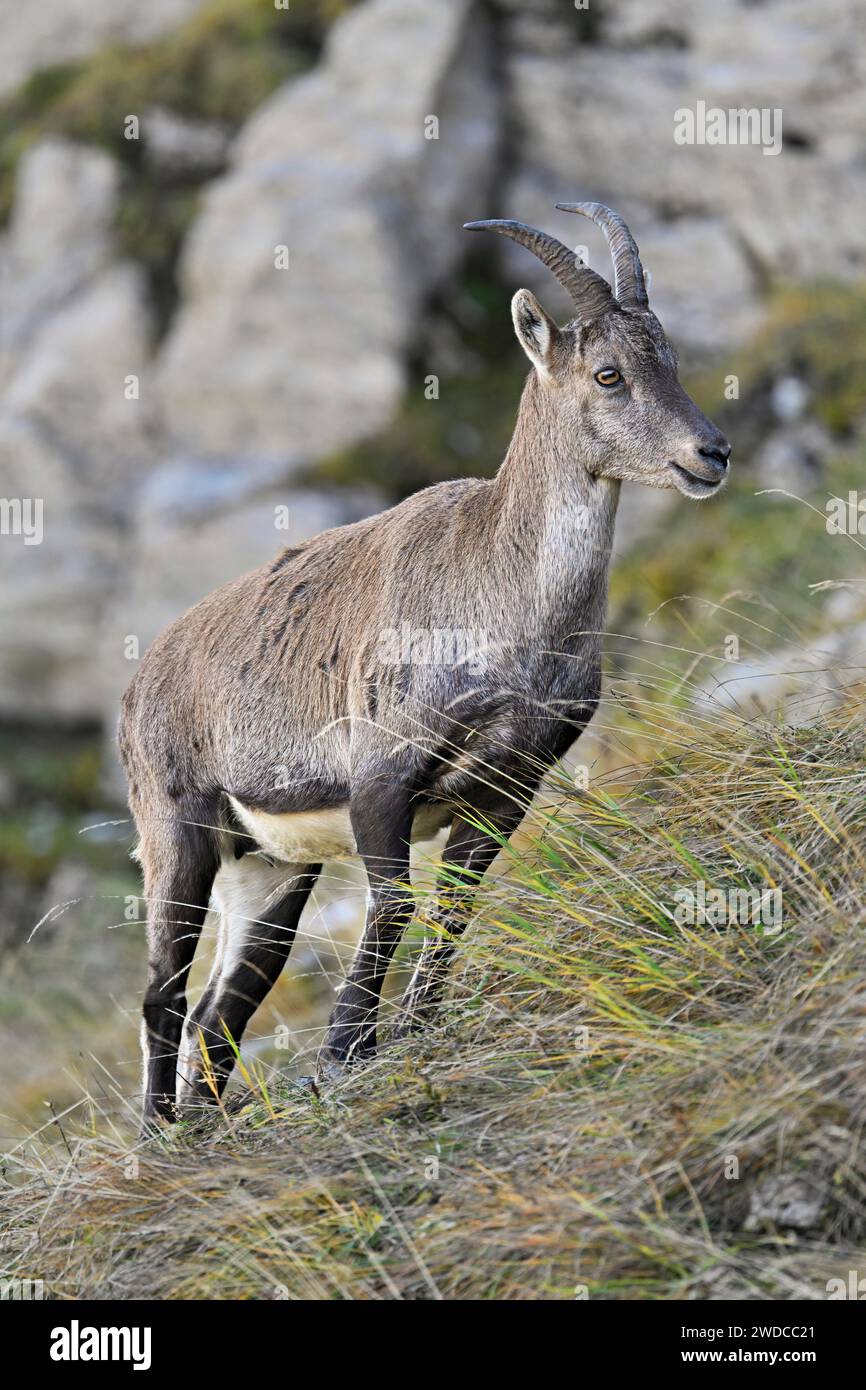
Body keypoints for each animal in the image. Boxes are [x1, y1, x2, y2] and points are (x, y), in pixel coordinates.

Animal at [119, 202, 731, 1128]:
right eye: (609, 373)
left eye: (671, 360)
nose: (711, 453)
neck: (509, 603)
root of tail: (137, 682)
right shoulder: (383, 776)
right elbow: (398, 902)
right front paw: (345, 1053)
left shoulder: (507, 787)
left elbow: (453, 910)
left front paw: (408, 1032)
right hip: (177, 830)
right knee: (163, 991)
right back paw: (159, 1135)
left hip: (272, 865)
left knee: (221, 1008)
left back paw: (206, 1125)